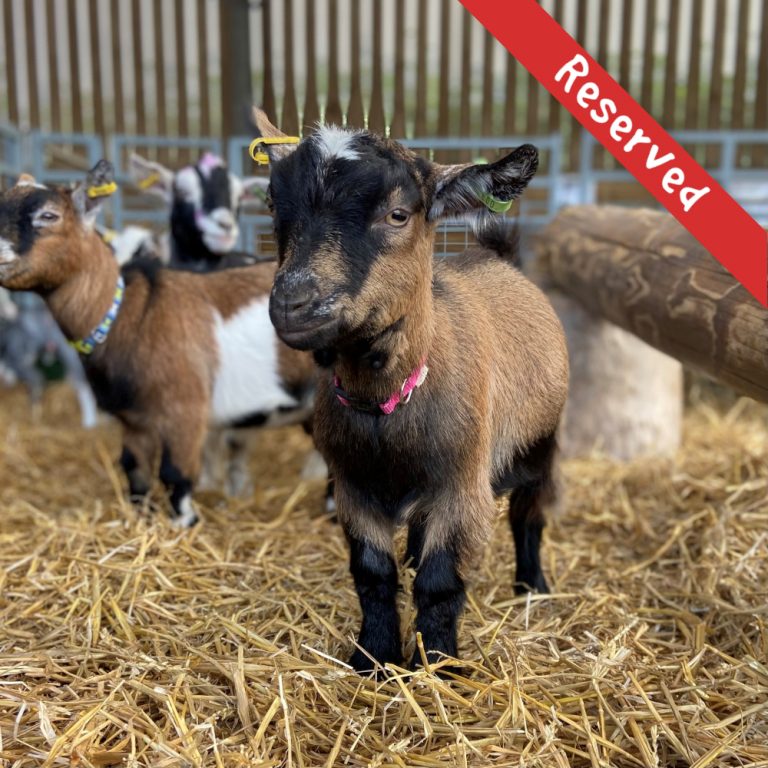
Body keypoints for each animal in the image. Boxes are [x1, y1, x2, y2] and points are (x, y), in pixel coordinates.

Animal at [0, 165, 316, 526]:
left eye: (48, 215)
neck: (129, 314)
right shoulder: (135, 422)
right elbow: (135, 473)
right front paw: (141, 521)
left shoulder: (185, 413)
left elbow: (175, 476)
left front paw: (183, 525)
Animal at [253, 109, 569, 673]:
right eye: (273, 203)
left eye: (398, 214)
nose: (294, 303)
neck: (387, 406)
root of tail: (501, 260)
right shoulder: (353, 488)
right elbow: (373, 575)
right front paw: (374, 658)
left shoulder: (460, 487)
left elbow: (440, 582)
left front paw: (439, 665)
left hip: (541, 441)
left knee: (528, 516)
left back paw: (532, 586)